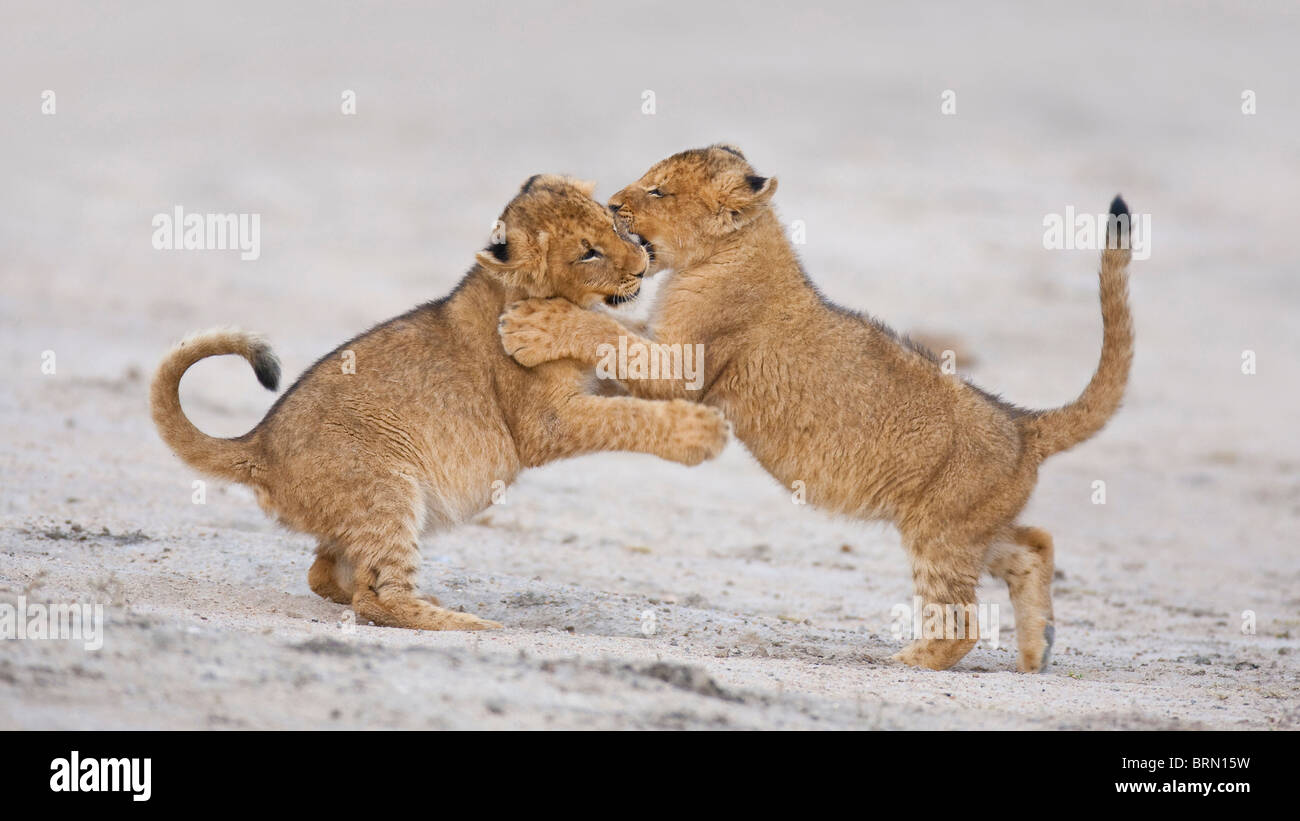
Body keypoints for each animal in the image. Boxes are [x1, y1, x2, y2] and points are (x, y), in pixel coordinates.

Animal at [150, 174, 729, 632]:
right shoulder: (547, 424)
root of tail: (258, 445)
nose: (643, 264)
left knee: (325, 575)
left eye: (611, 219)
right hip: (386, 487)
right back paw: (469, 623)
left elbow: (632, 364)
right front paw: (700, 433)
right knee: (376, 598)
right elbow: (626, 415)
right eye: (587, 252)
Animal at [498, 147, 1134, 672]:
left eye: (658, 192)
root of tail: (1024, 425)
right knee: (1034, 544)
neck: (734, 250)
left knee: (961, 622)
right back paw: (1035, 651)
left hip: (941, 532)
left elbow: (608, 332)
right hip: (971, 526)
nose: (611, 203)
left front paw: (535, 326)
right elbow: (616, 340)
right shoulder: (664, 351)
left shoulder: (686, 366)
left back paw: (909, 662)